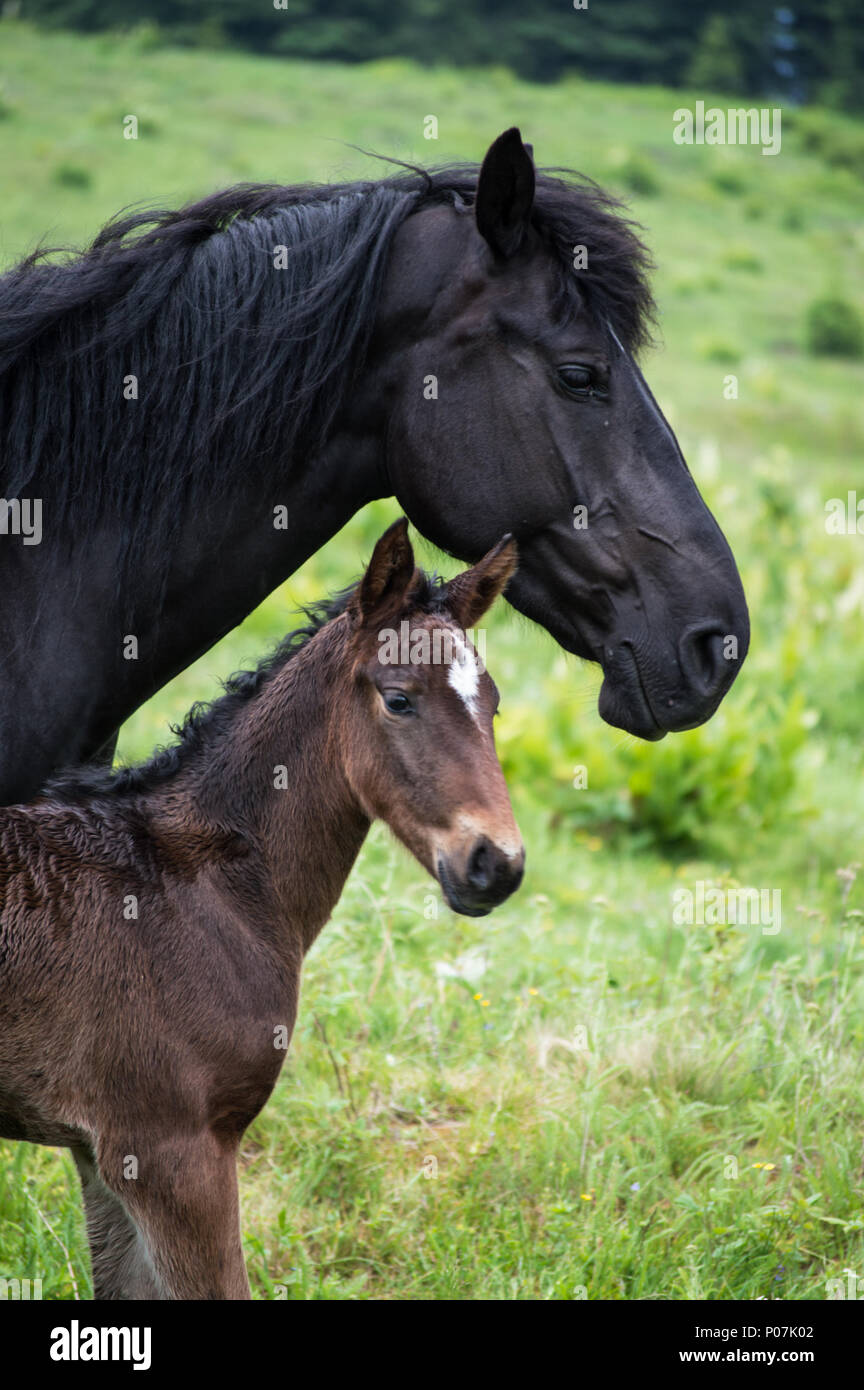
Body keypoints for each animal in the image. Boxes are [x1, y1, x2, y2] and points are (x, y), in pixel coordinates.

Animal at [0, 519, 524, 1299]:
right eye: (399, 698)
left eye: (490, 705)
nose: (497, 863)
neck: (202, 888)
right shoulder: (172, 1151)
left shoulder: (103, 1154)